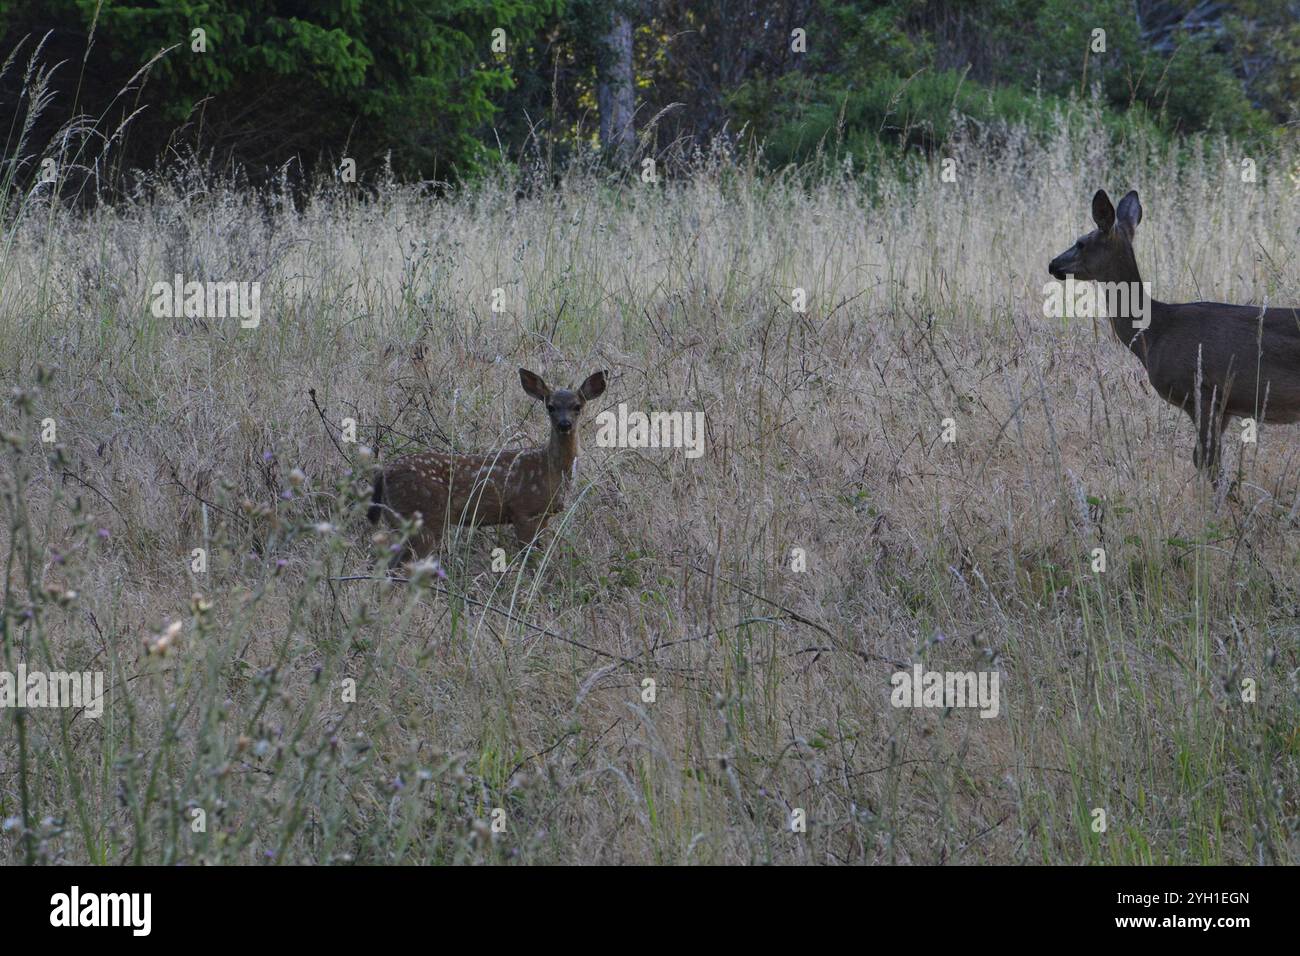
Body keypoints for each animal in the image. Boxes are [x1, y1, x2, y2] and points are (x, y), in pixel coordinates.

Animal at [368, 368, 608, 560]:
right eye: (550, 407)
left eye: (577, 406)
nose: (564, 424)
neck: (551, 468)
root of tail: (385, 472)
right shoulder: (524, 510)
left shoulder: (543, 516)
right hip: (422, 517)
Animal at [1048, 189, 1300, 475]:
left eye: (1080, 243)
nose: (1053, 264)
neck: (1153, 332)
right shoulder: (1223, 407)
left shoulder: (1202, 391)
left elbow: (1206, 460)